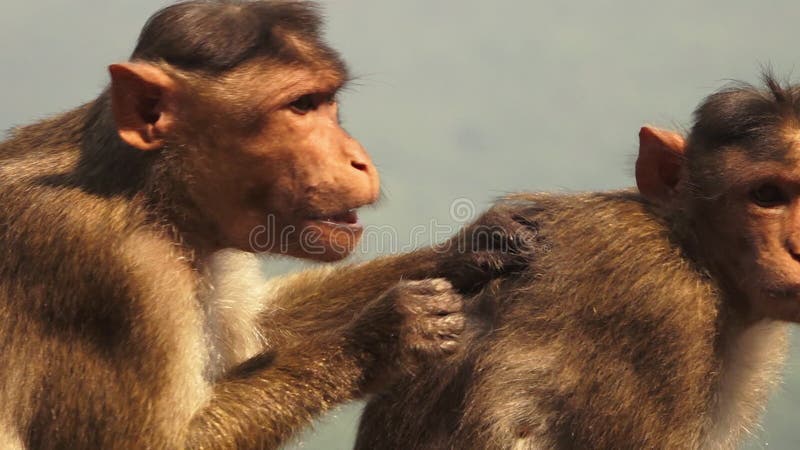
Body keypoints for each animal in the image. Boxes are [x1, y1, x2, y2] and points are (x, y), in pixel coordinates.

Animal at [0, 1, 531, 449]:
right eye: (301, 105)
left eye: (327, 100)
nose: (358, 159)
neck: (151, 198)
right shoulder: (111, 275)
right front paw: (384, 335)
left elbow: (262, 327)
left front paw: (471, 248)